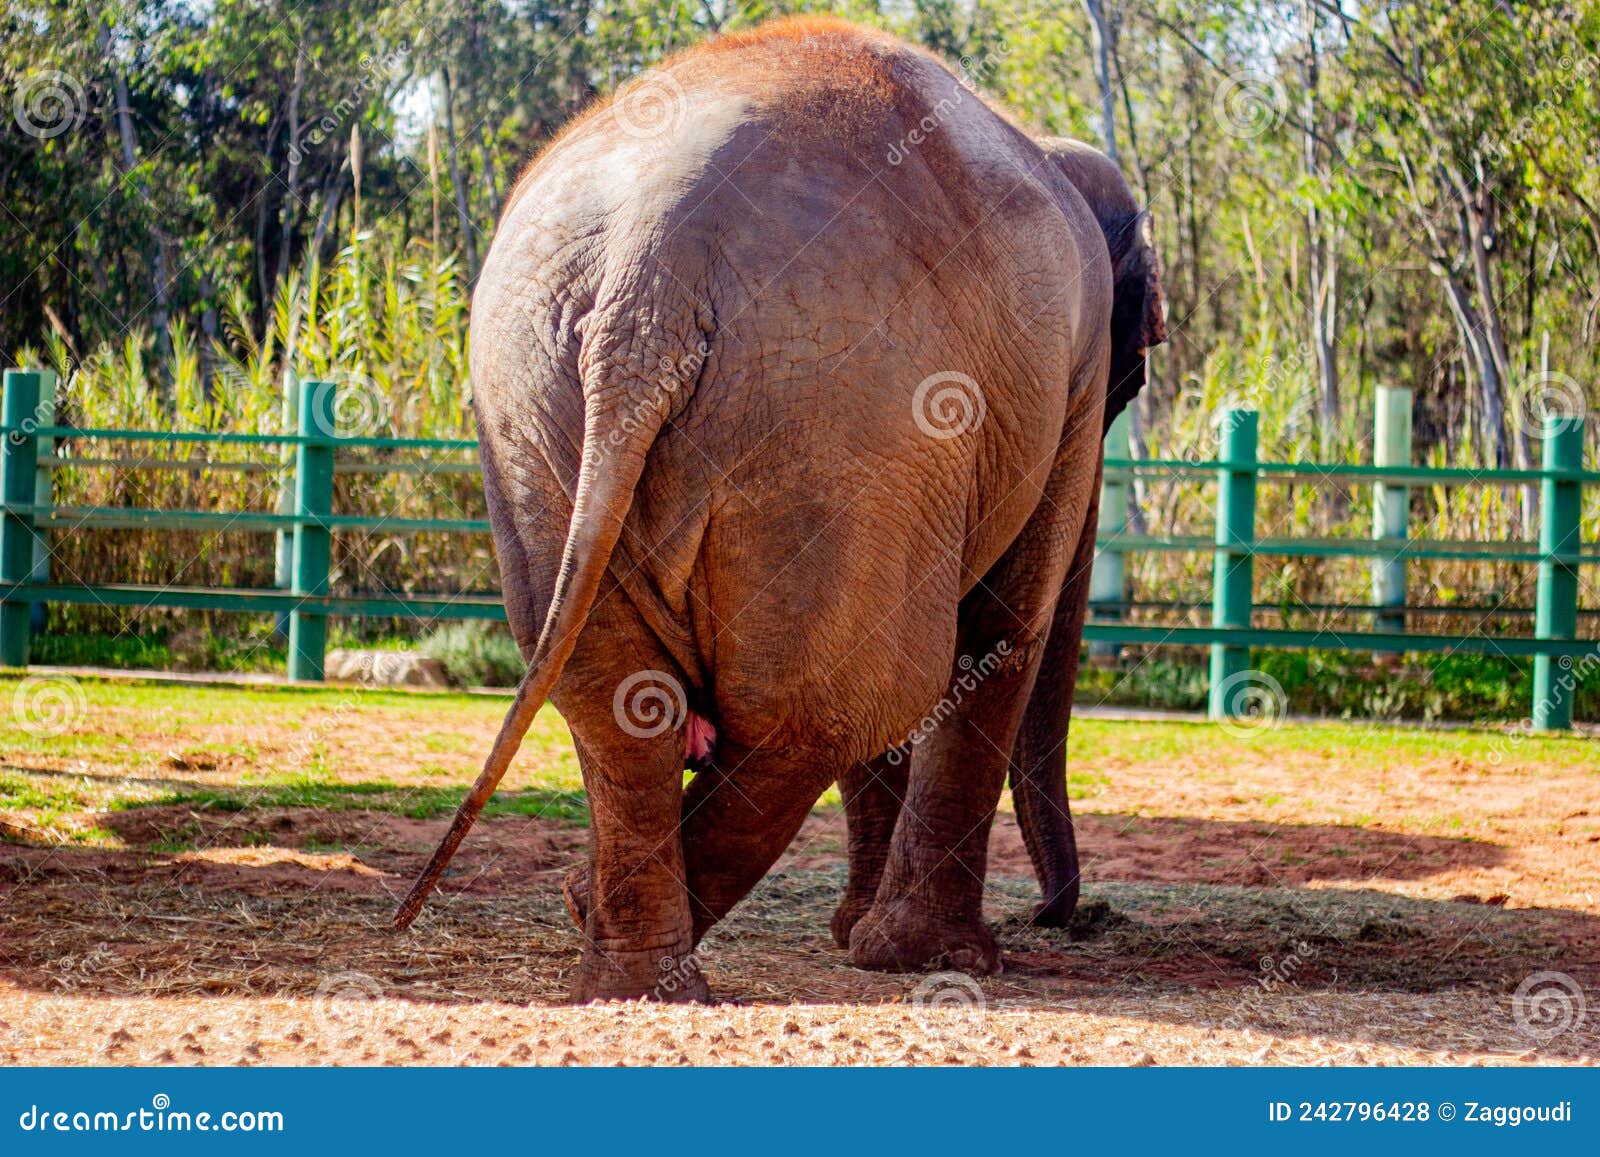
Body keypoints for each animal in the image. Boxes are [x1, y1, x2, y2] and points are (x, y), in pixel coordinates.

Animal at [394, 16, 1166, 1003]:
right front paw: (934, 958)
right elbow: (996, 636)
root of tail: (651, 272)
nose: (1062, 913)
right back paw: (633, 942)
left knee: (620, 696)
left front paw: (858, 938)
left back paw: (625, 967)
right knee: (839, 700)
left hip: (534, 409)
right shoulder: (1065, 385)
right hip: (850, 423)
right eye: (1133, 379)